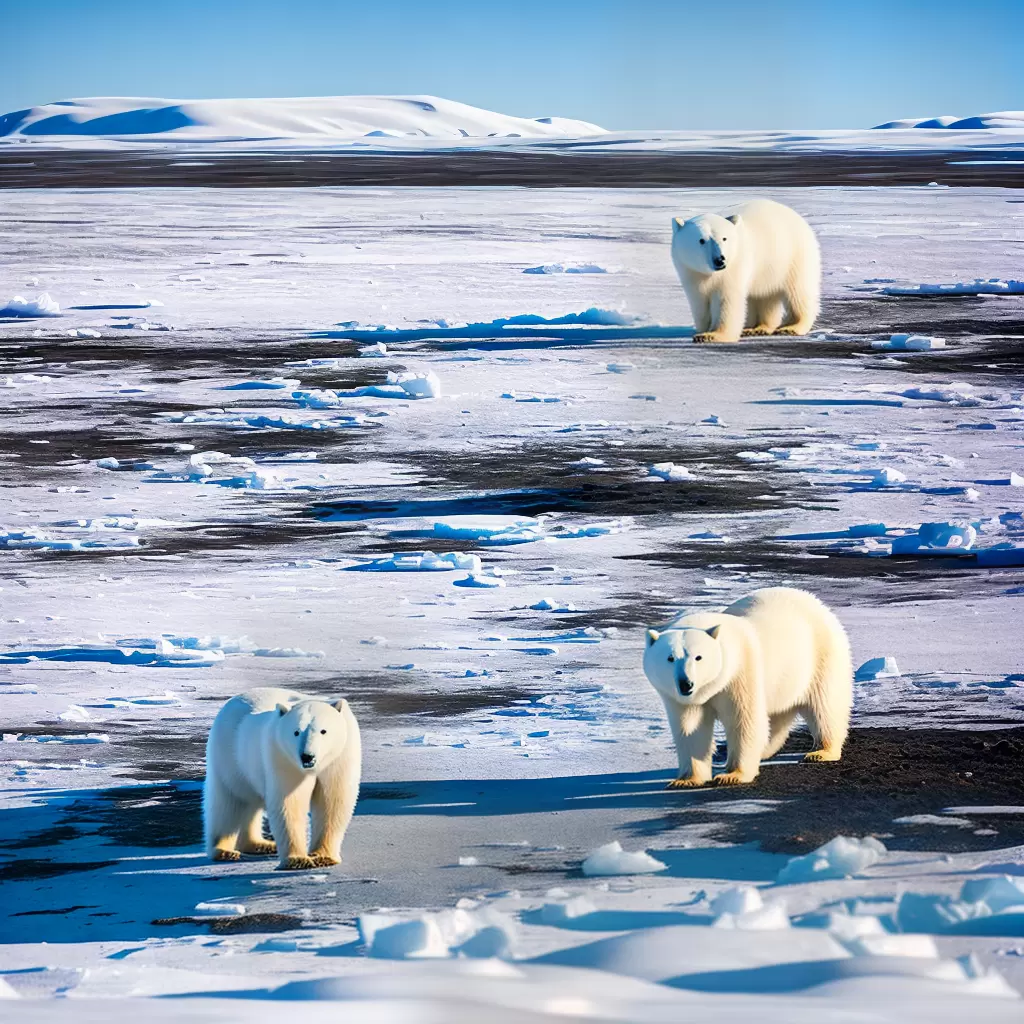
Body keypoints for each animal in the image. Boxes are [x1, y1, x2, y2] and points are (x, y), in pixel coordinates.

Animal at [204, 687, 361, 870]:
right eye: (296, 732)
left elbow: (332, 800)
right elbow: (289, 802)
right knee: (229, 802)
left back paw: (260, 844)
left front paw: (323, 856)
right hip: (230, 758)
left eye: (323, 730)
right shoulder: (282, 756)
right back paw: (224, 851)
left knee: (249, 803)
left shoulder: (341, 756)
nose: (307, 756)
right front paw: (298, 860)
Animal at [643, 587, 851, 788]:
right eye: (670, 658)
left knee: (825, 705)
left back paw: (821, 751)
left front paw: (732, 775)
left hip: (822, 656)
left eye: (698, 657)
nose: (686, 683)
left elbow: (743, 721)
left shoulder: (741, 673)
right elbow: (690, 729)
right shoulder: (683, 699)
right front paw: (686, 780)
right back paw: (765, 750)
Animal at [671, 198, 820, 344]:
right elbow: (699, 301)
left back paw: (791, 327)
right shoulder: (690, 270)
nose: (720, 259)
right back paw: (756, 328)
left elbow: (726, 299)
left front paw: (711, 335)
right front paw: (702, 329)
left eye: (724, 238)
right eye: (701, 240)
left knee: (798, 291)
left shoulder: (734, 267)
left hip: (793, 256)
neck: (710, 274)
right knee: (763, 295)